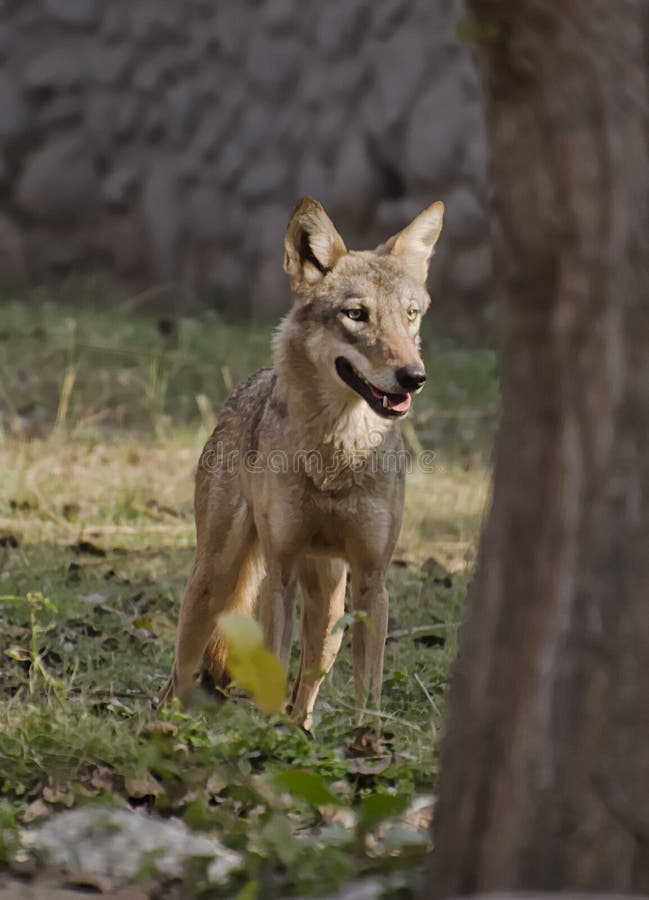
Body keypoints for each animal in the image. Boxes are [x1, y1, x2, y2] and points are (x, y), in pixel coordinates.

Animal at [159, 197, 444, 728]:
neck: (336, 454)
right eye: (356, 314)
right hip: (212, 583)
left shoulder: (372, 582)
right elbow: (273, 669)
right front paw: (267, 738)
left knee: (306, 691)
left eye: (410, 315)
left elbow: (368, 691)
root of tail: (253, 379)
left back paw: (302, 731)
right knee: (177, 677)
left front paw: (366, 744)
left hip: (330, 611)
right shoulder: (281, 572)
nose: (413, 377)